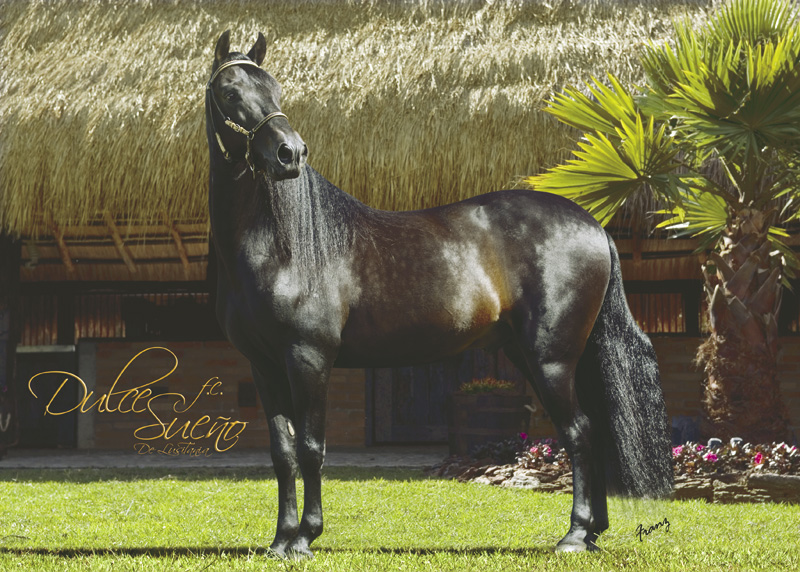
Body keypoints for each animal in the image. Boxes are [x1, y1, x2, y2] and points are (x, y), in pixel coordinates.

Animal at [205, 31, 672, 558]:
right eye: (230, 92)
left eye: (275, 88)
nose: (290, 154)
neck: (284, 247)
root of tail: (593, 225)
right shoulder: (263, 365)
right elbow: (282, 451)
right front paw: (282, 539)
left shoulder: (308, 357)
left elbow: (309, 447)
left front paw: (306, 536)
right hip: (560, 355)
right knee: (595, 429)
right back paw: (592, 532)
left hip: (551, 359)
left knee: (580, 433)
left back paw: (574, 535)